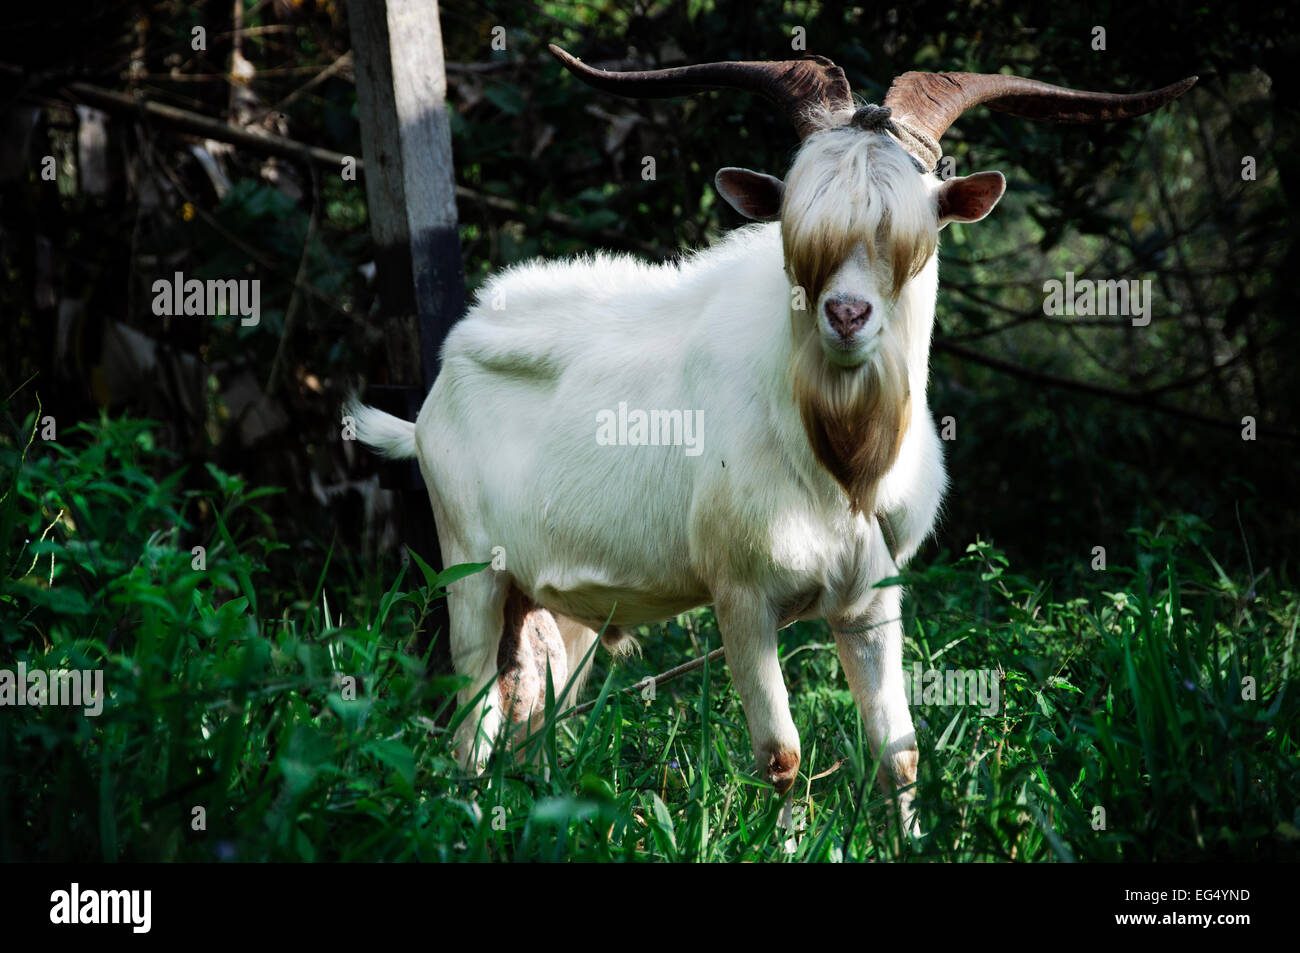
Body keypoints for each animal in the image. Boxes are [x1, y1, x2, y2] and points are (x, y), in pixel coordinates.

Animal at [348, 46, 1194, 830]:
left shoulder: (872, 595)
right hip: (470, 572)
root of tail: (437, 387)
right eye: (802, 230)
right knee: (472, 721)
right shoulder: (741, 594)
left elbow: (899, 748)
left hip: (560, 608)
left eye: (912, 233)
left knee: (529, 719)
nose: (846, 316)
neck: (838, 460)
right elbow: (780, 753)